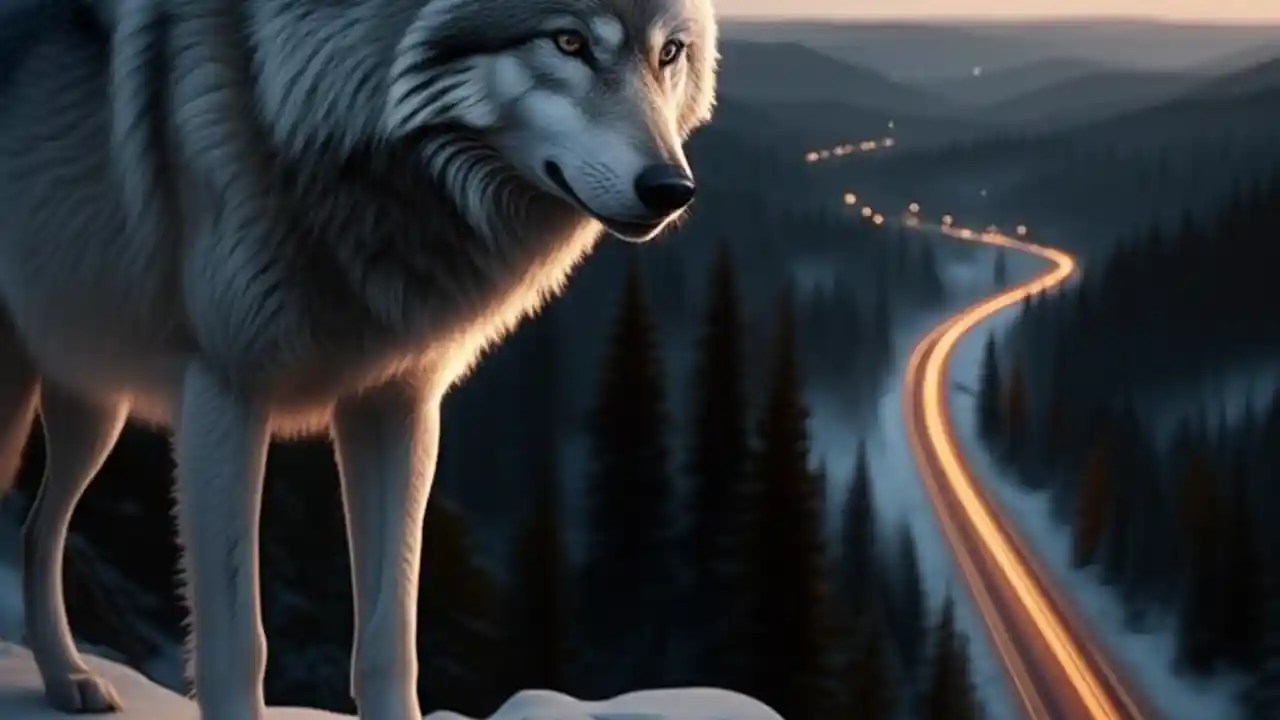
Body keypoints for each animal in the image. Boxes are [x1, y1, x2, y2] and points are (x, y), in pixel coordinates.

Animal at [0, 0, 718, 717]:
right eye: (568, 42)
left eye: (669, 53)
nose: (672, 189)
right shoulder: (224, 396)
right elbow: (237, 644)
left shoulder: (396, 403)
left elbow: (388, 639)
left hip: (94, 407)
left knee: (36, 530)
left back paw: (68, 678)